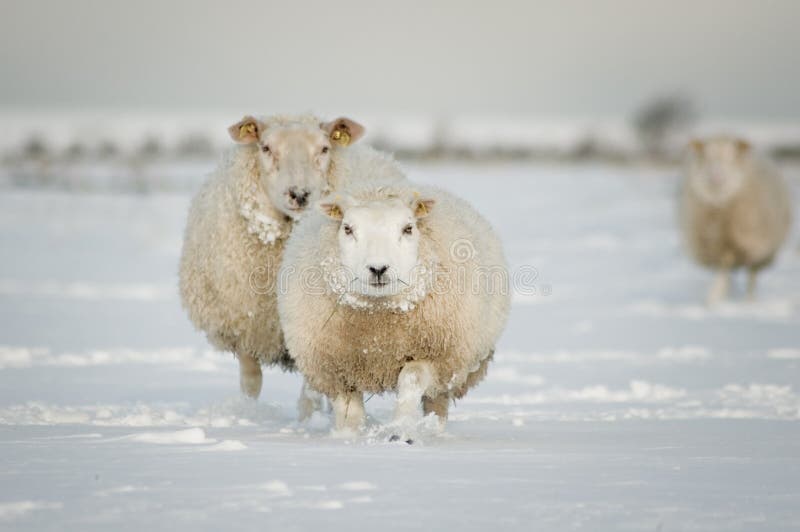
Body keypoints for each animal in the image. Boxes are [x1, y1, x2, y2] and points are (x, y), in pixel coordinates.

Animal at [178, 113, 365, 418]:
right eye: (265, 148)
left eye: (324, 149)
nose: (299, 194)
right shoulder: (245, 322)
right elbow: (251, 380)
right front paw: (248, 411)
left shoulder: (310, 326)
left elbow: (310, 390)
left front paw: (306, 419)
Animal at [277, 160, 511, 436]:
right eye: (347, 228)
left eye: (408, 228)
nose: (378, 269)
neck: (379, 336)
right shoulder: (336, 368)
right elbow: (349, 409)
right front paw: (349, 436)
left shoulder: (432, 355)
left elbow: (411, 380)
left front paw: (402, 430)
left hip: (454, 364)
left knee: (436, 402)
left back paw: (433, 429)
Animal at [679, 136, 793, 304]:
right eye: (706, 158)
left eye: (730, 159)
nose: (716, 177)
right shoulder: (716, 245)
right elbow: (722, 267)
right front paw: (714, 298)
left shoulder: (745, 242)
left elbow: (732, 267)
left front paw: (716, 298)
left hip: (759, 247)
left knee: (752, 273)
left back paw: (750, 300)